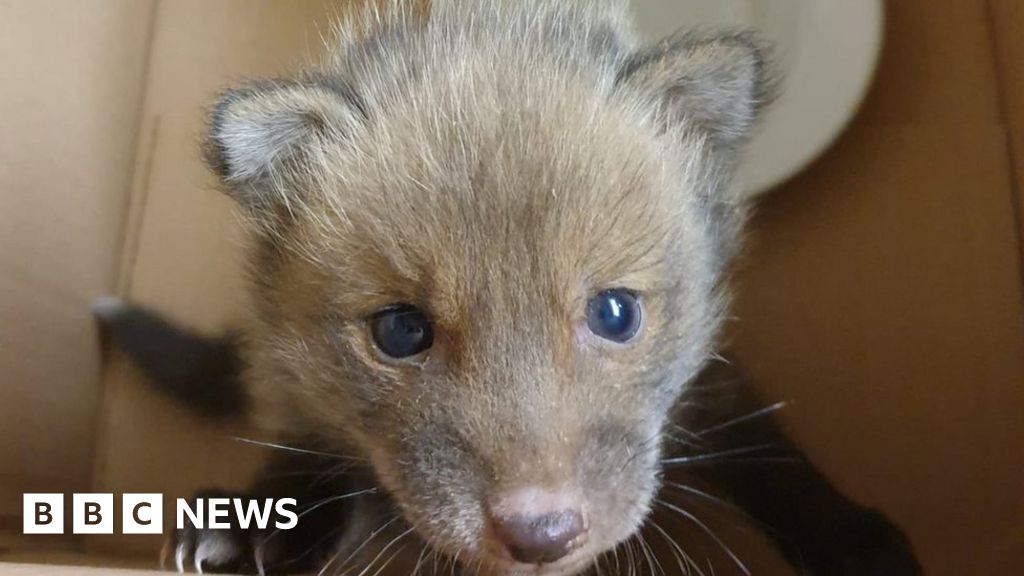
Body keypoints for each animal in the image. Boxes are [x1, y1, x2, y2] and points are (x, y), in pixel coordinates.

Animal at [96, 1, 921, 574]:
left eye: (615, 313)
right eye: (400, 330)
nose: (540, 534)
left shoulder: (712, 379)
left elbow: (770, 453)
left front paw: (849, 539)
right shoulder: (309, 401)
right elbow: (319, 454)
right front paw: (257, 521)